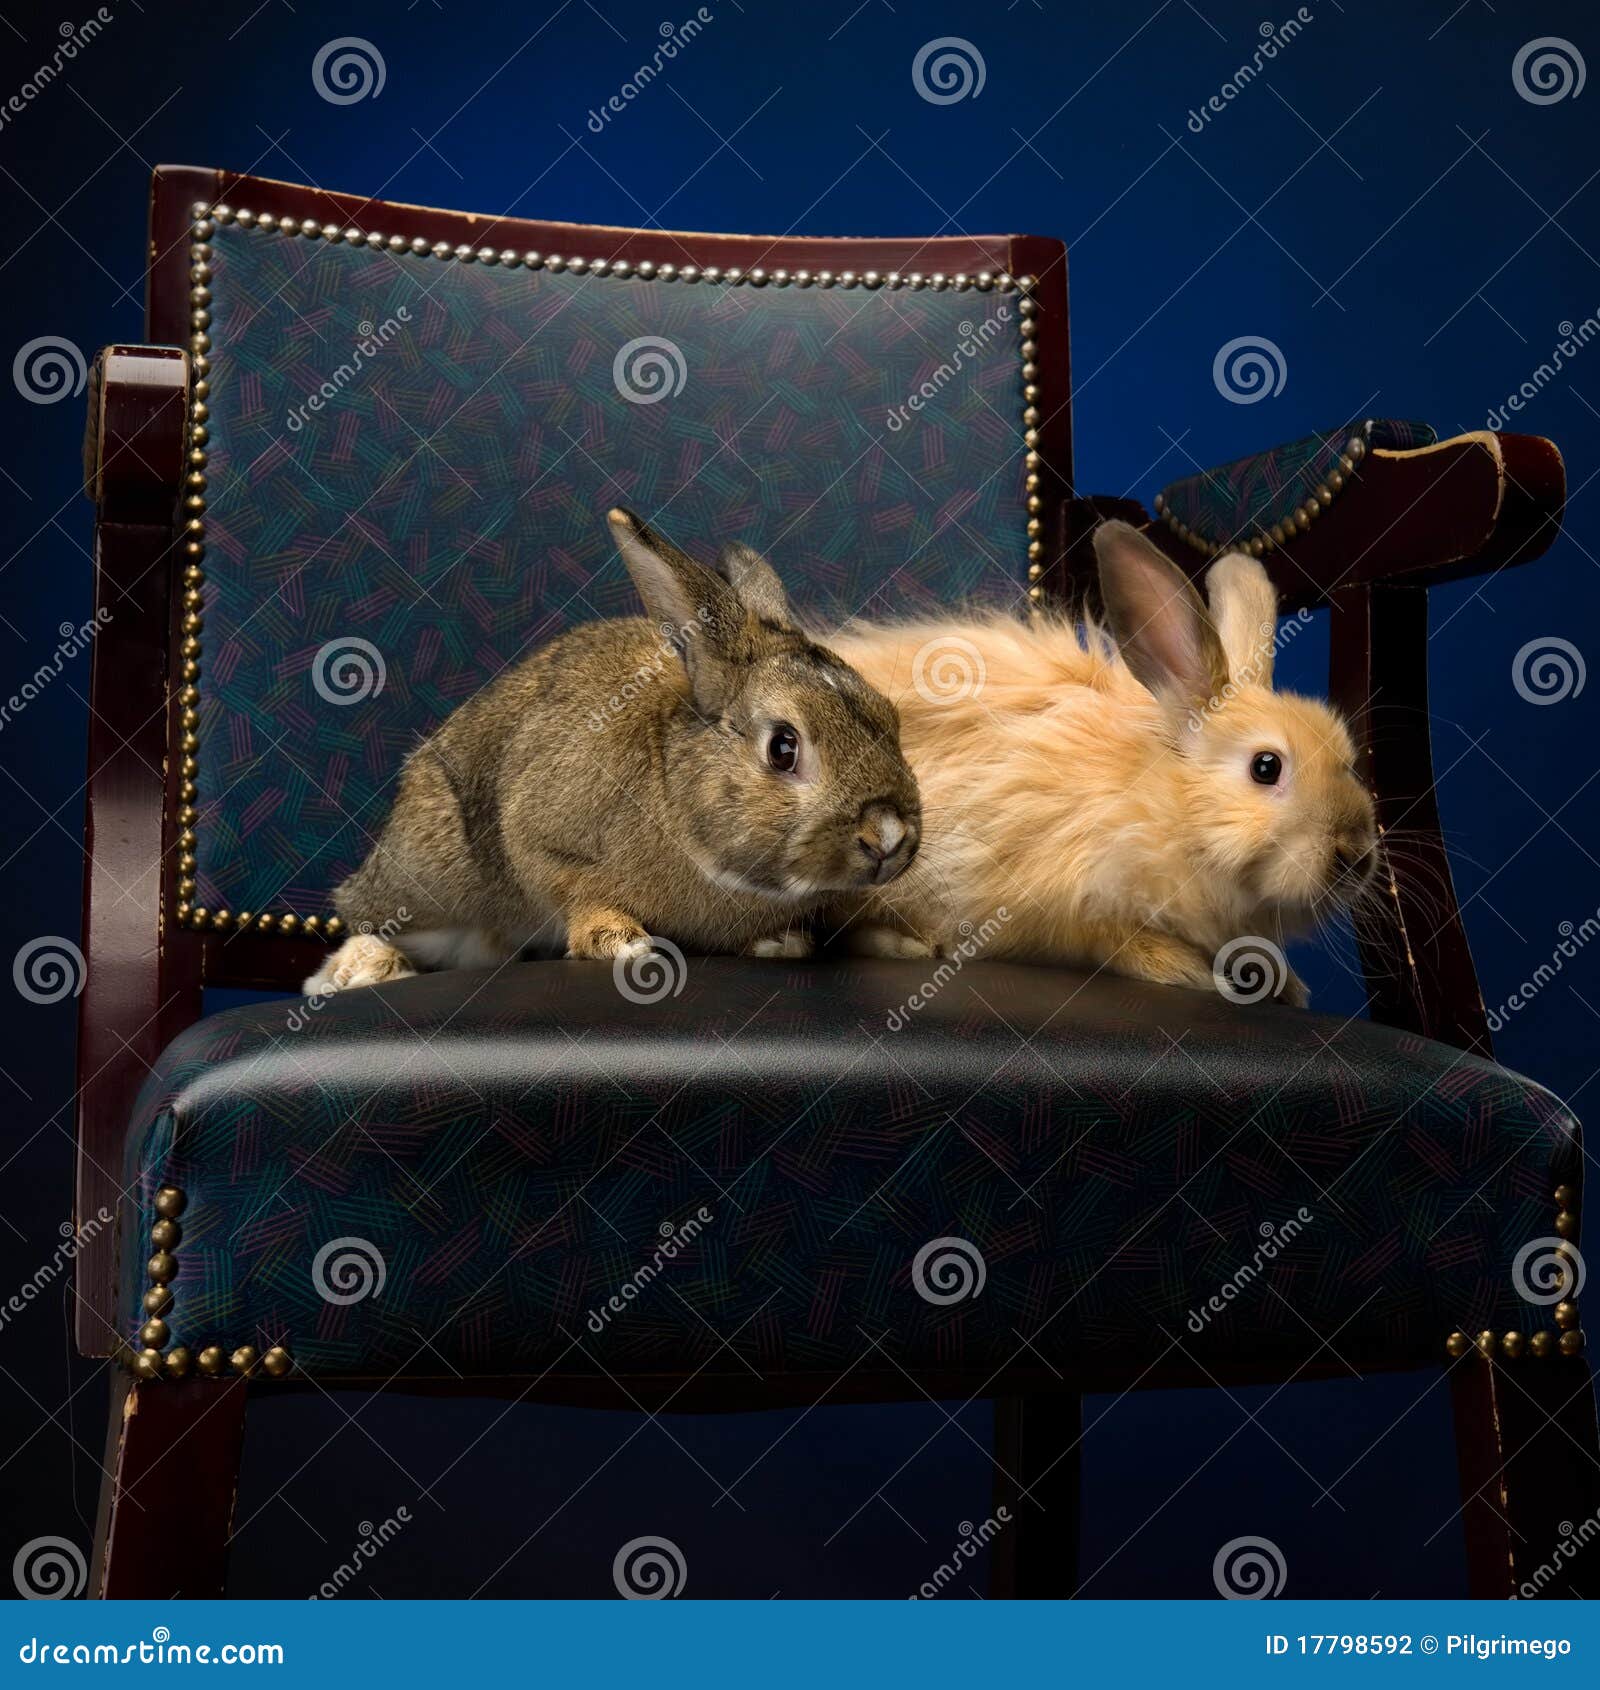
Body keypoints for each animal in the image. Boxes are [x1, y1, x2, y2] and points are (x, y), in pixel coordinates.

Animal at [303, 508, 922, 996]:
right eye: (784, 748)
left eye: (891, 720)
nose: (889, 835)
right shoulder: (541, 838)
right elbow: (569, 888)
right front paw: (622, 943)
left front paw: (782, 942)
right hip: (429, 875)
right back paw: (358, 972)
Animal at [825, 519, 1378, 1007]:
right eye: (1266, 767)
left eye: (1349, 761)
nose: (1357, 856)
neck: (1162, 806)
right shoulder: (1057, 900)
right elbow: (1111, 939)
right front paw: (1183, 968)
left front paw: (1287, 985)